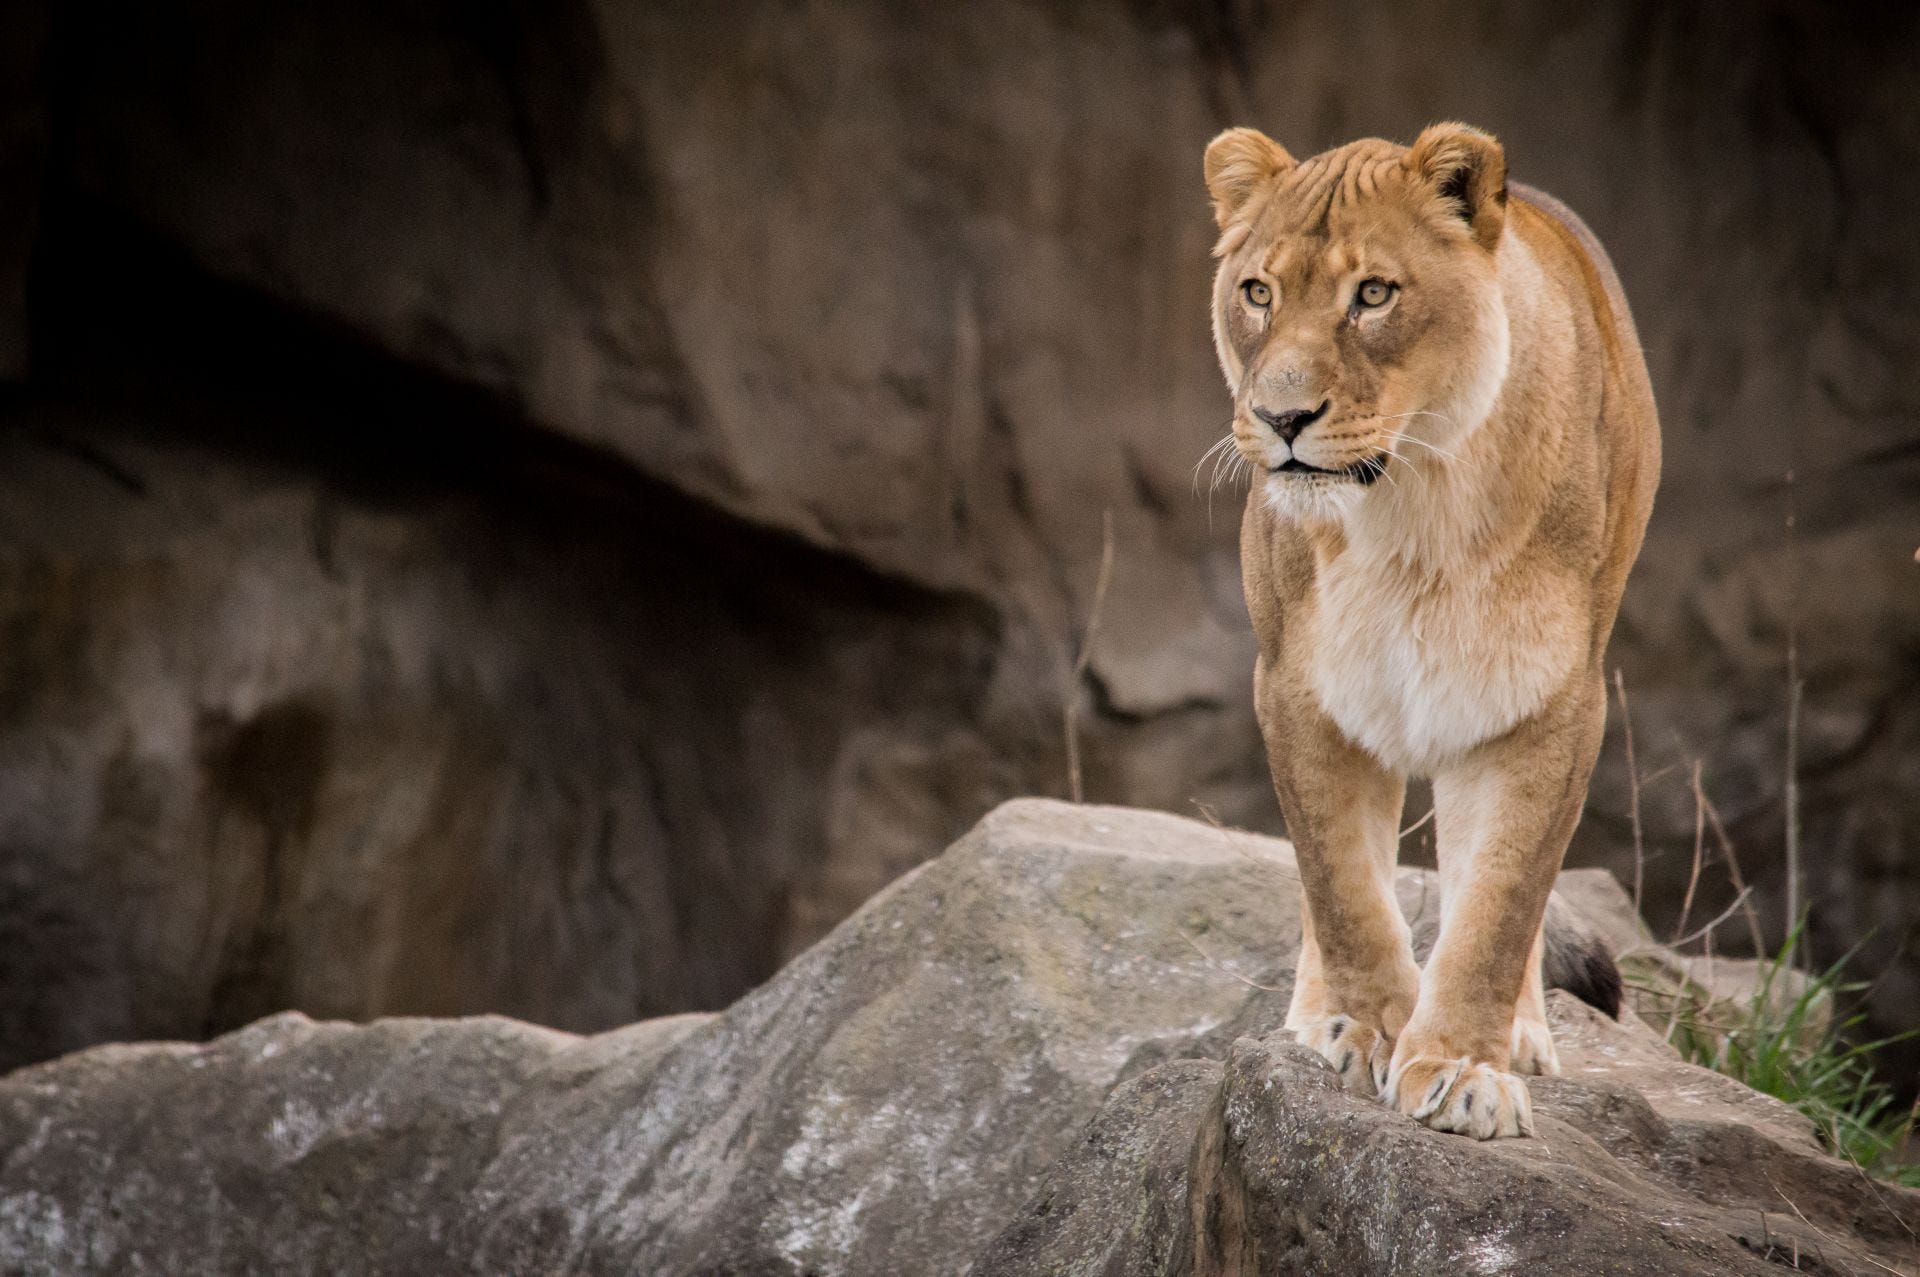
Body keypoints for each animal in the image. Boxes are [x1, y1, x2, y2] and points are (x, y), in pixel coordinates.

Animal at [1203, 122, 1660, 1138]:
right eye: (1258, 293)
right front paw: (1362, 1030)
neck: (1412, 506)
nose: (1279, 416)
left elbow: (1500, 903)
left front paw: (1462, 1068)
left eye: (1374, 294)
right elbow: (1341, 885)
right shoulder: (1297, 688)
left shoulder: (1546, 706)